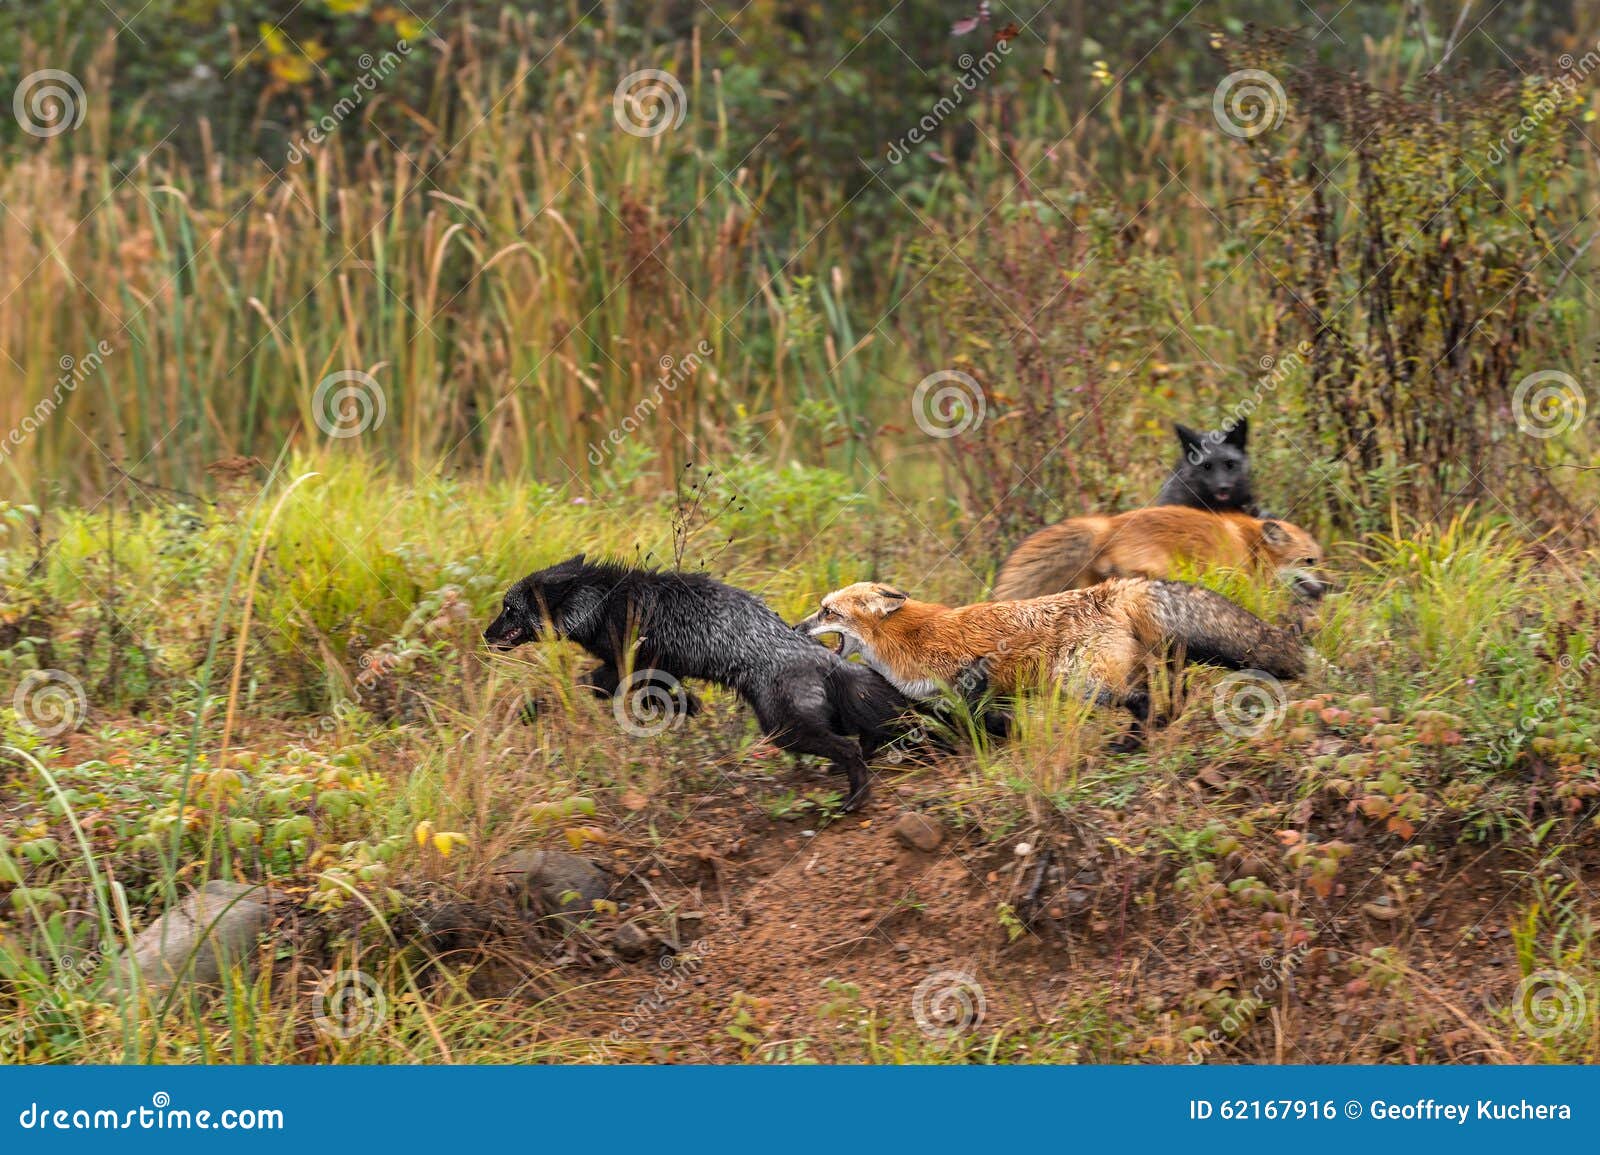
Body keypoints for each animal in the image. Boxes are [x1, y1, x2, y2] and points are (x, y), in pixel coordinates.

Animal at [482, 555, 917, 811]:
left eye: (508, 609)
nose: (486, 635)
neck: (601, 602)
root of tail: (819, 654)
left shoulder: (632, 663)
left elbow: (588, 685)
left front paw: (530, 710)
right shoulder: (654, 666)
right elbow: (655, 693)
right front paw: (687, 707)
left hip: (786, 727)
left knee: (848, 748)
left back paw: (856, 798)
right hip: (812, 719)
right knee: (865, 735)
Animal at [797, 577, 1305, 749]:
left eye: (826, 612)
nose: (796, 627)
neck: (907, 640)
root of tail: (1112, 588)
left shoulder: (971, 679)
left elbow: (979, 723)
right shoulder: (955, 696)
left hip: (1083, 683)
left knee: (1140, 699)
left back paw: (1132, 744)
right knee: (1169, 689)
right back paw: (1166, 721)